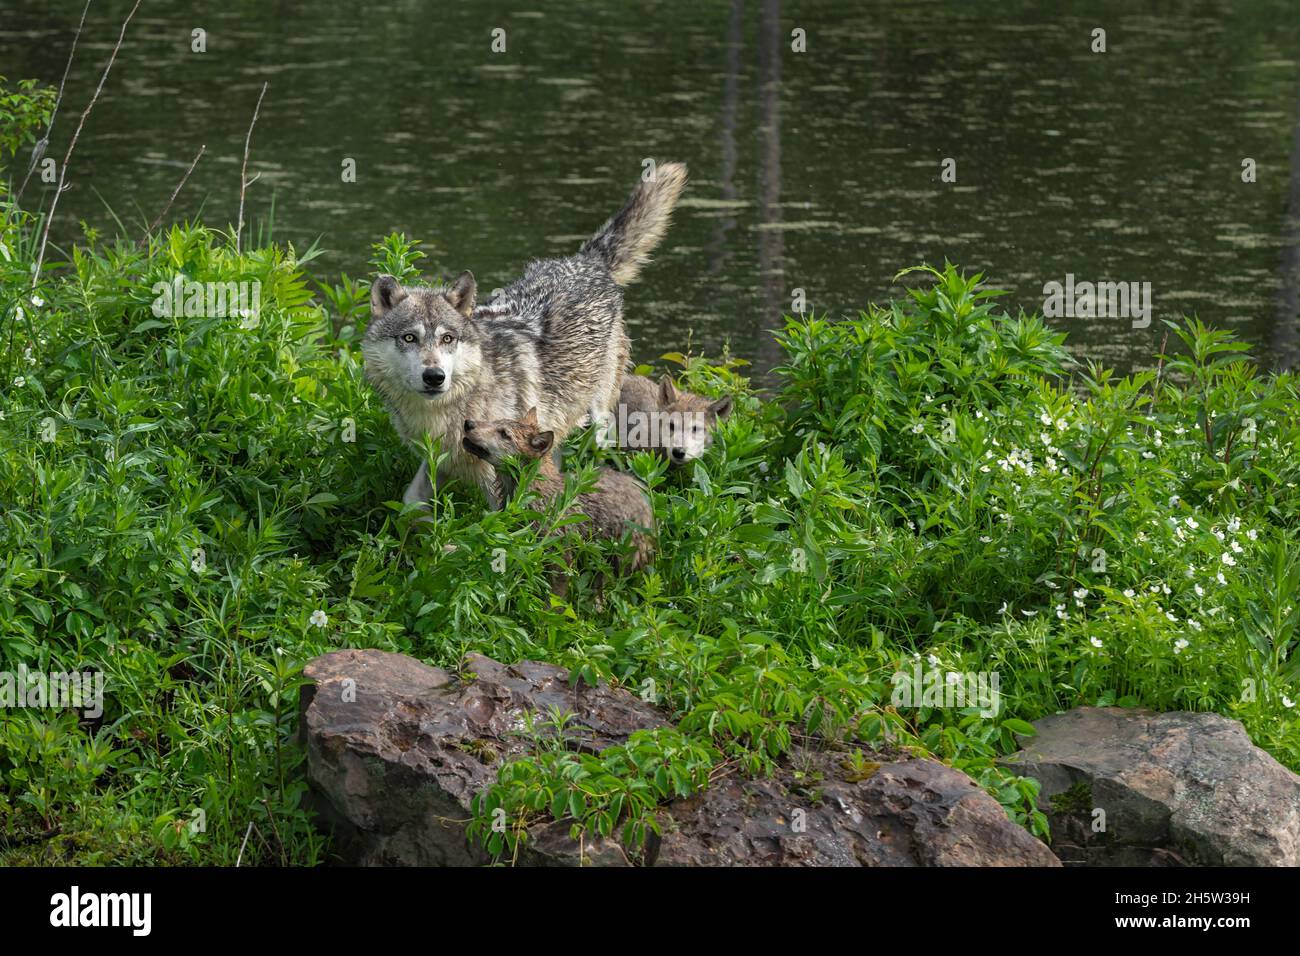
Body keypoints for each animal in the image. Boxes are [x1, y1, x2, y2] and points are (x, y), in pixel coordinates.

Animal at [363, 162, 688, 508]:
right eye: (409, 338)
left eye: (448, 338)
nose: (435, 377)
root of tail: (585, 261)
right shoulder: (438, 461)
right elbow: (411, 501)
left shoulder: (497, 474)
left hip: (598, 422)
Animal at [462, 408, 655, 584]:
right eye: (494, 422)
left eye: (504, 434)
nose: (468, 423)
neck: (537, 494)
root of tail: (644, 493)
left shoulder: (560, 557)